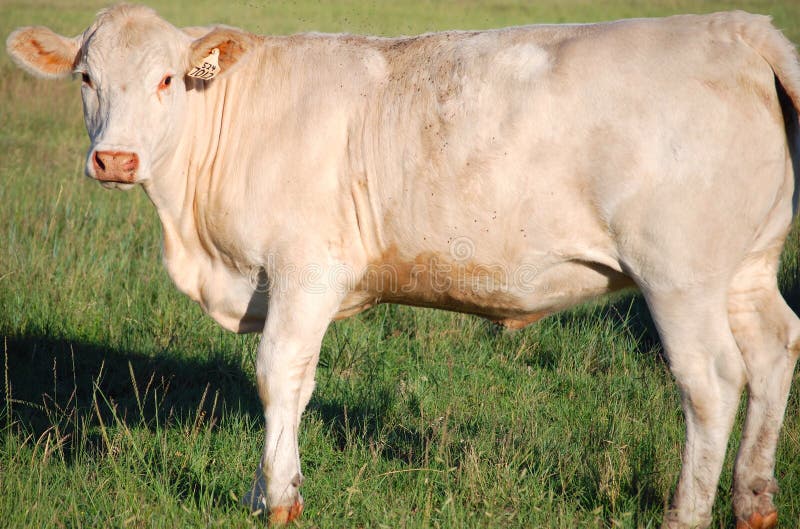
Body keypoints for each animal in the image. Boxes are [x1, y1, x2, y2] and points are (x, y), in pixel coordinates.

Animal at [7, 5, 800, 528]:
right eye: (86, 77)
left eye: (168, 79)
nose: (115, 159)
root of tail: (729, 25)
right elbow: (294, 384)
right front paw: (265, 492)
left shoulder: (304, 270)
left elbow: (278, 374)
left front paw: (280, 498)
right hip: (747, 268)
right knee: (774, 349)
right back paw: (754, 501)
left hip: (679, 276)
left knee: (711, 382)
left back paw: (685, 513)